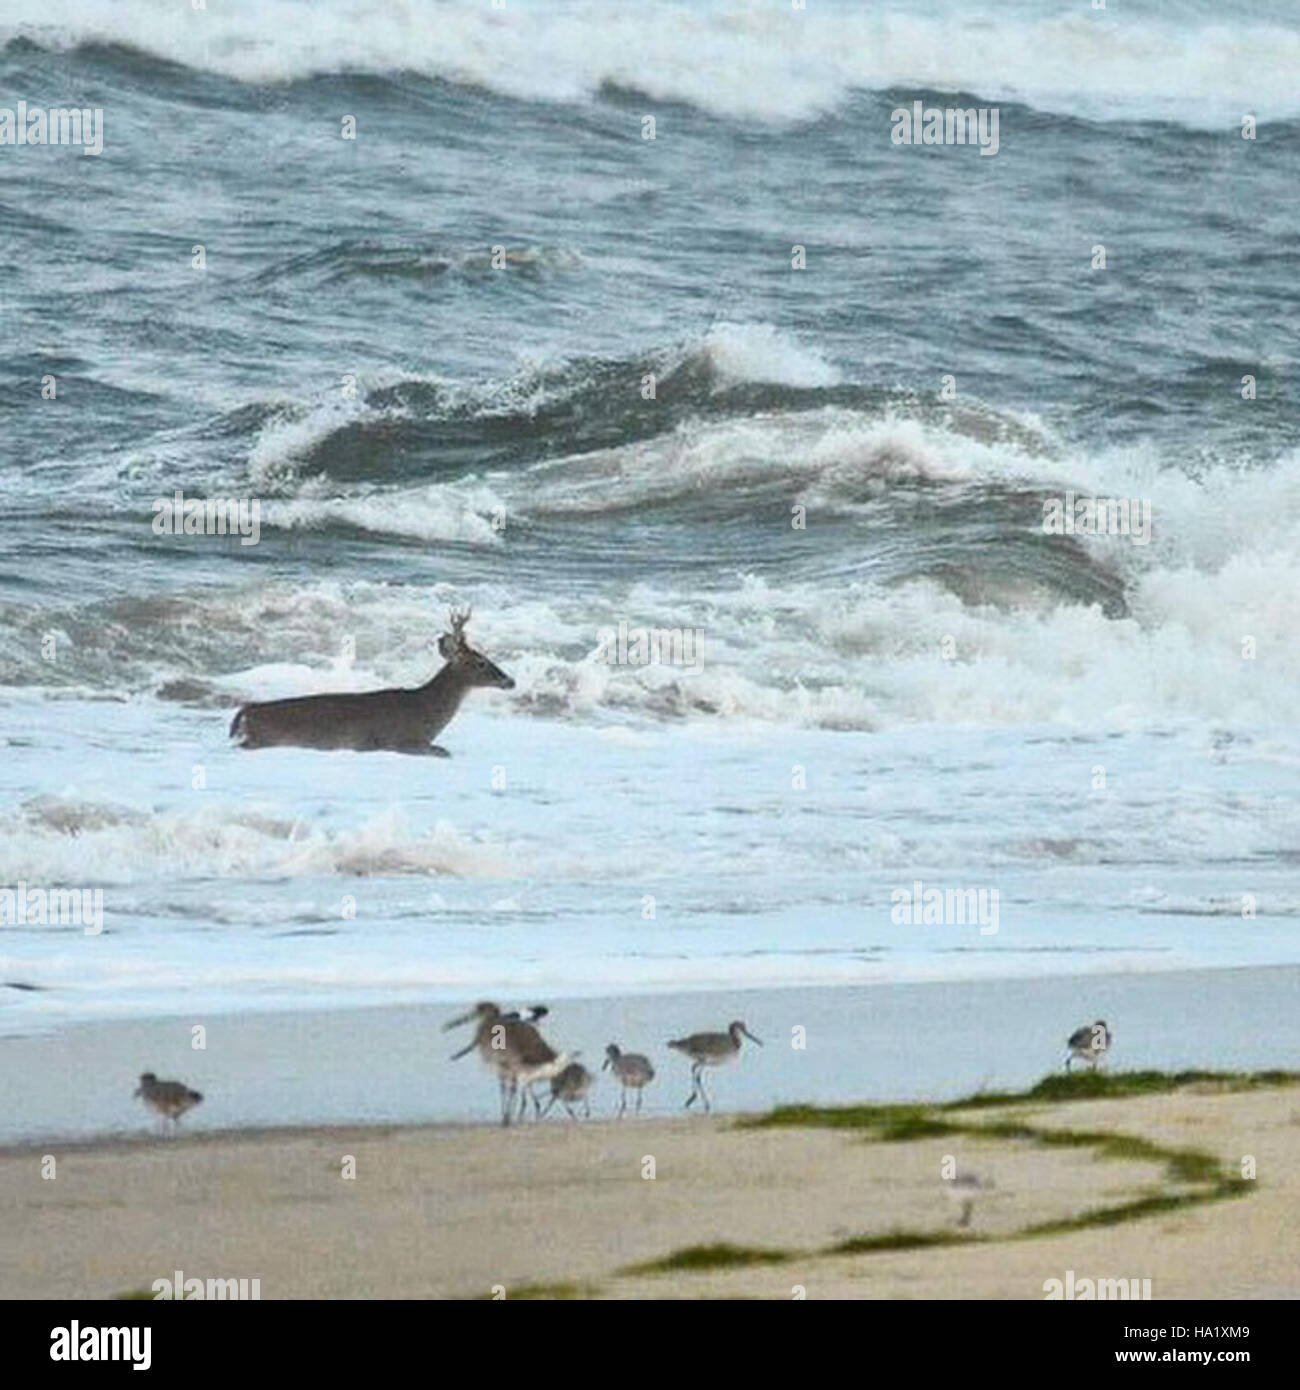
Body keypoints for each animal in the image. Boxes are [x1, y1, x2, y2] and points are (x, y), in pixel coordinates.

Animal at [229, 607, 514, 755]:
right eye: (481, 661)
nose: (510, 680)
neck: (426, 711)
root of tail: (248, 710)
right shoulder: (400, 741)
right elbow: (444, 752)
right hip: (267, 739)